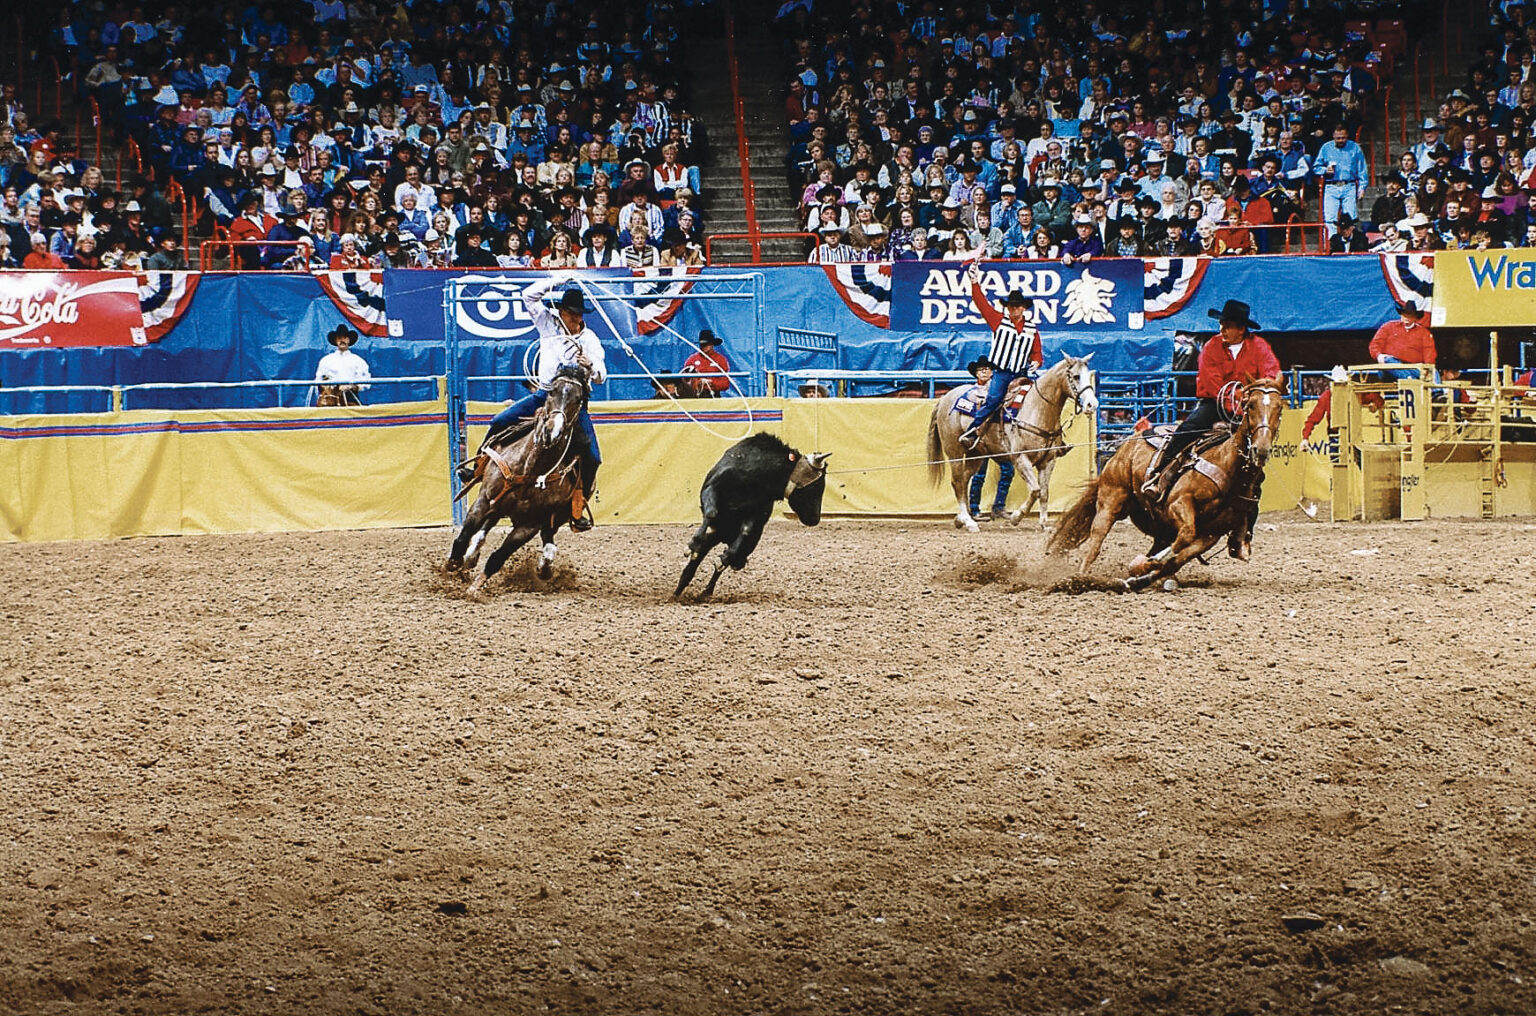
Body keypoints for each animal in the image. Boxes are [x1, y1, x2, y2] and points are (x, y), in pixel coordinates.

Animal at [446, 366, 590, 596]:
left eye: (579, 399)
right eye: (551, 392)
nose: (552, 432)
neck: (530, 469)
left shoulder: (530, 524)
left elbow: (498, 557)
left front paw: (475, 588)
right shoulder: (484, 500)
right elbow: (464, 534)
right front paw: (454, 562)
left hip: (556, 516)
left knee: (548, 538)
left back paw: (545, 567)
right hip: (497, 505)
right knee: (485, 527)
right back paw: (471, 556)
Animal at [927, 353, 1099, 531]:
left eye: (1088, 375)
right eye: (1076, 376)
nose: (1092, 405)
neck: (1036, 407)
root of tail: (945, 397)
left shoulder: (1048, 461)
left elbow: (1044, 493)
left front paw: (1044, 525)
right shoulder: (1021, 459)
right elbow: (1035, 490)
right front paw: (1016, 517)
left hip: (976, 454)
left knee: (965, 480)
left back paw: (960, 518)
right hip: (954, 451)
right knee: (957, 482)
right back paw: (969, 522)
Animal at [1046, 376, 1287, 591]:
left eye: (1279, 409)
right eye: (1250, 405)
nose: (1260, 449)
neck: (1227, 465)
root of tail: (1125, 445)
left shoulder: (1210, 535)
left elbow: (1177, 558)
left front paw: (1144, 572)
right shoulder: (1178, 504)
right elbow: (1184, 536)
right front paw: (1144, 567)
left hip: (1158, 525)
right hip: (1111, 501)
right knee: (1095, 542)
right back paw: (1078, 578)